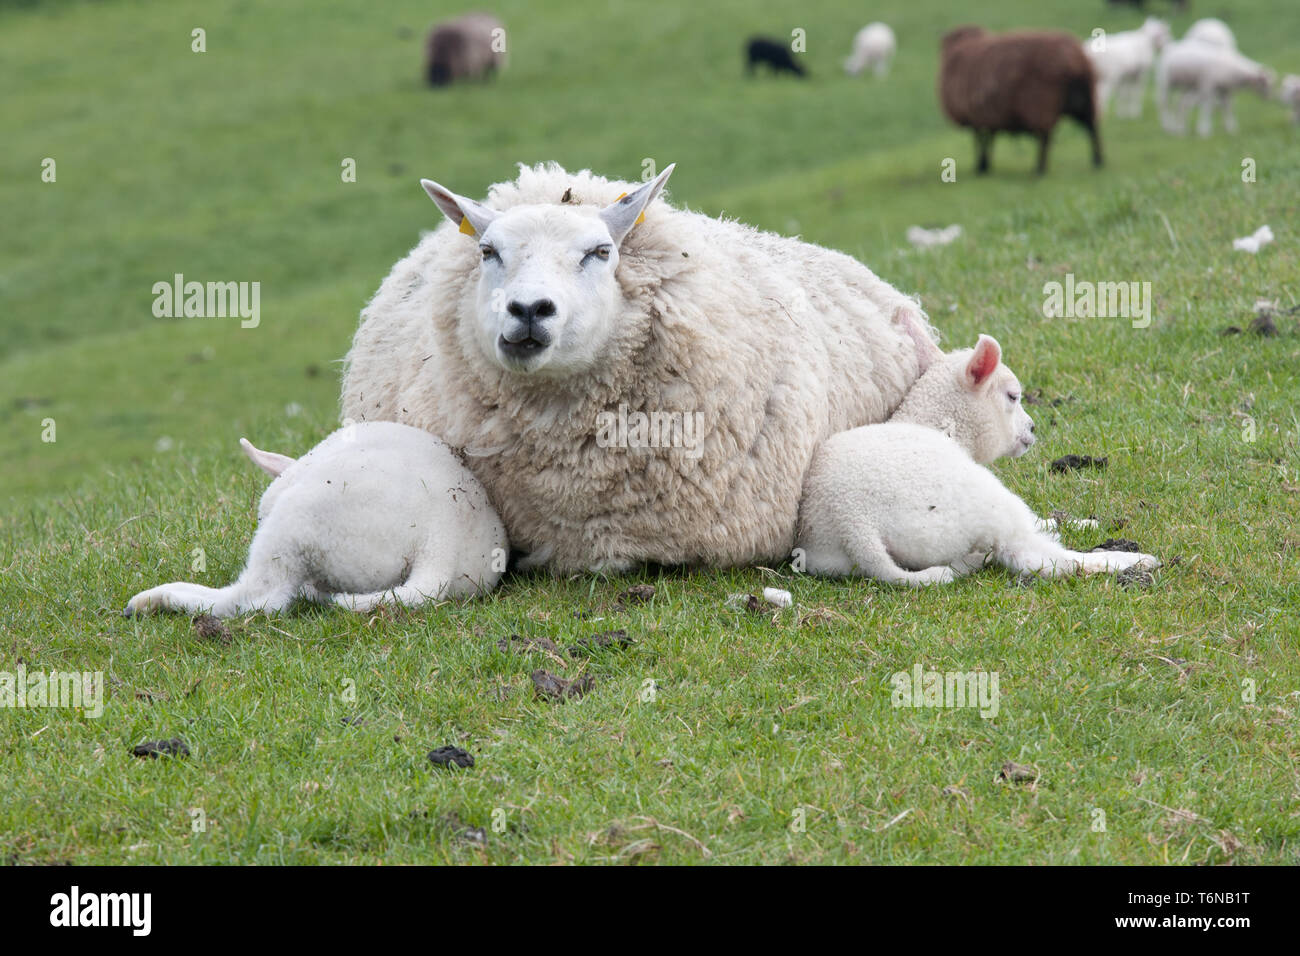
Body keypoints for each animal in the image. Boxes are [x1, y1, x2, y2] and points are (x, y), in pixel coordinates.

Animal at [797, 330, 1159, 585]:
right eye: (1012, 396)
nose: (1032, 428)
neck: (939, 426)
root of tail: (854, 525)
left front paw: (1079, 521)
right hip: (977, 503)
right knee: (1037, 558)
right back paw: (1128, 561)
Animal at [938, 26, 1103, 175]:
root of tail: (1075, 58)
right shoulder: (987, 115)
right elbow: (988, 138)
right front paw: (984, 164)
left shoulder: (977, 115)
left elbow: (981, 140)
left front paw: (982, 165)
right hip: (1084, 101)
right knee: (1092, 128)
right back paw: (1098, 161)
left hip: (1042, 105)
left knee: (1045, 138)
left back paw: (1040, 169)